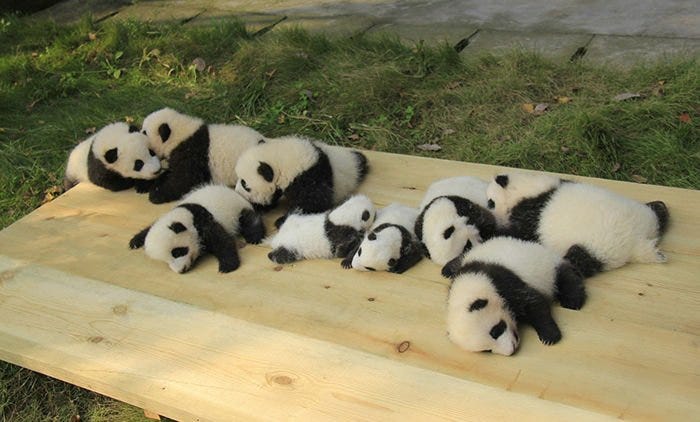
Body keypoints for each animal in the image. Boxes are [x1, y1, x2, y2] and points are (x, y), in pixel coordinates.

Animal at [129, 184, 266, 273]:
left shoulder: (203, 221)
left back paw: (254, 237)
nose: (181, 270)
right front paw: (135, 241)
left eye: (178, 252)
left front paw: (228, 265)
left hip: (237, 210)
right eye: (166, 261)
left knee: (249, 219)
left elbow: (221, 240)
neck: (186, 214)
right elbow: (150, 226)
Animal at [443, 236, 586, 356]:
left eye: (496, 330)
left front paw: (550, 336)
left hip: (549, 267)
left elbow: (534, 304)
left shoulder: (503, 282)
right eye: (487, 350)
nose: (511, 350)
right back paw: (446, 269)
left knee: (566, 277)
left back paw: (572, 301)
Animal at [485, 172, 670, 277]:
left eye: (491, 202)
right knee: (659, 211)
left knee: (579, 259)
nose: (488, 207)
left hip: (600, 248)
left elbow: (516, 232)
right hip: (642, 215)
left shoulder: (528, 220)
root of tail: (638, 242)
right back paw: (659, 208)